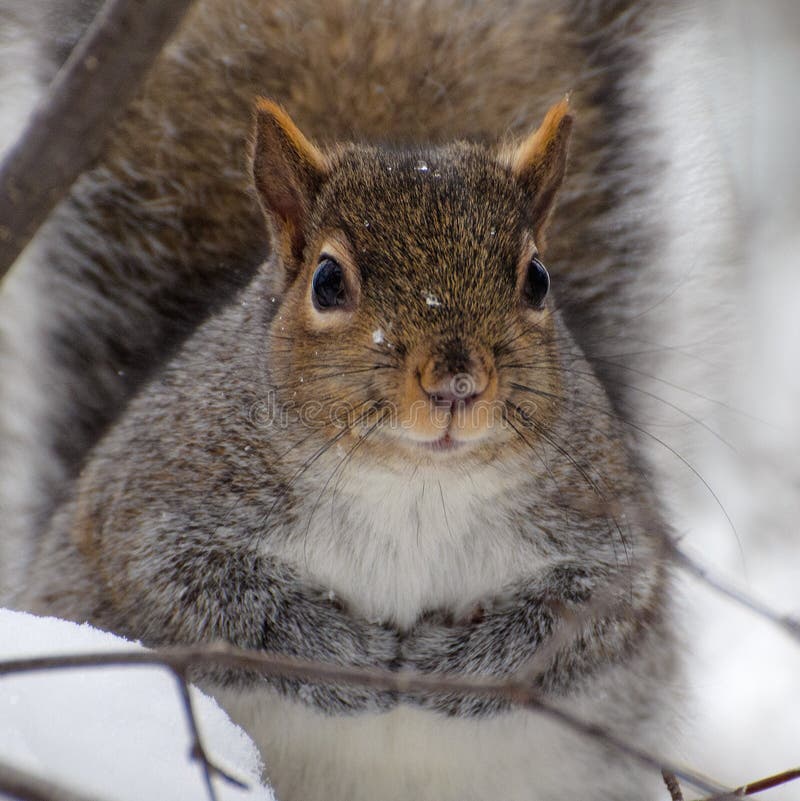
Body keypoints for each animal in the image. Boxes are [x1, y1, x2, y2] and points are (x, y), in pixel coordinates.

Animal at [2, 1, 681, 799]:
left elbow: (594, 615)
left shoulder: (606, 526)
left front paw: (460, 666)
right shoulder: (154, 502)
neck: (413, 482)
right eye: (328, 282)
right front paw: (343, 656)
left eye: (537, 279)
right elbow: (199, 592)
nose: (456, 380)